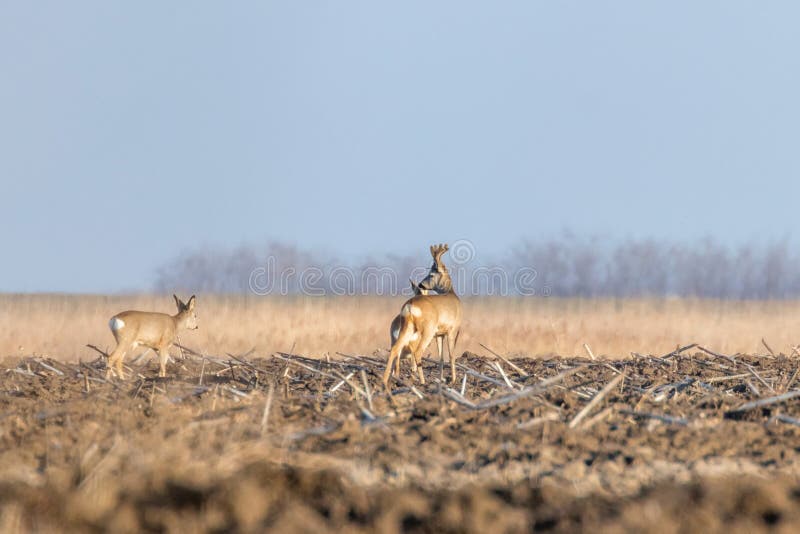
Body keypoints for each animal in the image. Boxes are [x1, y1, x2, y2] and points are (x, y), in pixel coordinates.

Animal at [383, 244, 462, 388]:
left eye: (431, 273)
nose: (421, 285)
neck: (452, 295)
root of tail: (410, 305)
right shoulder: (452, 331)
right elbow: (451, 355)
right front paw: (453, 380)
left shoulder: (439, 335)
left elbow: (441, 358)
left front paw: (441, 379)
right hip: (426, 331)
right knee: (417, 352)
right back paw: (422, 381)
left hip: (408, 329)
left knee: (395, 349)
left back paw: (385, 380)